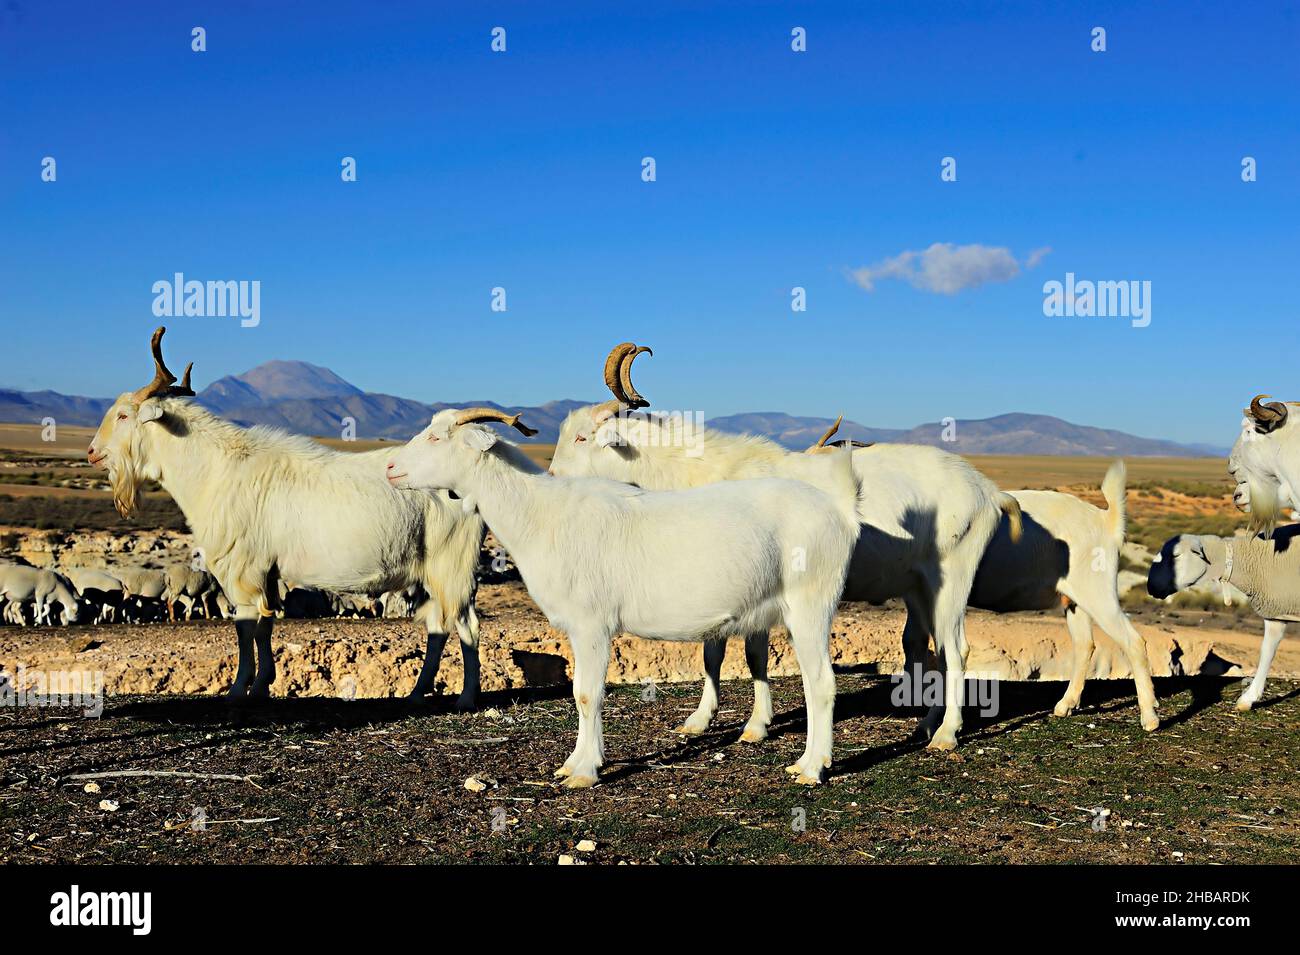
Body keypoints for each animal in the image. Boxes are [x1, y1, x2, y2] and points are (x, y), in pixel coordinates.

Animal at [86, 327, 495, 702]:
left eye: (123, 416)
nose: (91, 452)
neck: (217, 468)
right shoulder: (266, 572)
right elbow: (265, 626)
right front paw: (261, 686)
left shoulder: (241, 569)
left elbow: (245, 627)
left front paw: (238, 690)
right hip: (434, 571)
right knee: (439, 625)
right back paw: (417, 691)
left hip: (452, 564)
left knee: (466, 625)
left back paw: (466, 696)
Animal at [388, 408, 860, 786]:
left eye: (437, 437)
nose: (391, 467)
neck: (542, 514)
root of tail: (838, 511)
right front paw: (574, 763)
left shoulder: (591, 624)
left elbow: (586, 693)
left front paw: (583, 771)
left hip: (811, 605)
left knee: (821, 683)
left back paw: (811, 767)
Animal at [549, 344, 1021, 749]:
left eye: (581, 438)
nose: (551, 478)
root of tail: (988, 490)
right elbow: (721, 655)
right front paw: (712, 720)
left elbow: (742, 653)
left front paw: (748, 725)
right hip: (918, 586)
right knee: (931, 646)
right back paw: (927, 723)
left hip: (953, 579)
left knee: (956, 649)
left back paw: (947, 734)